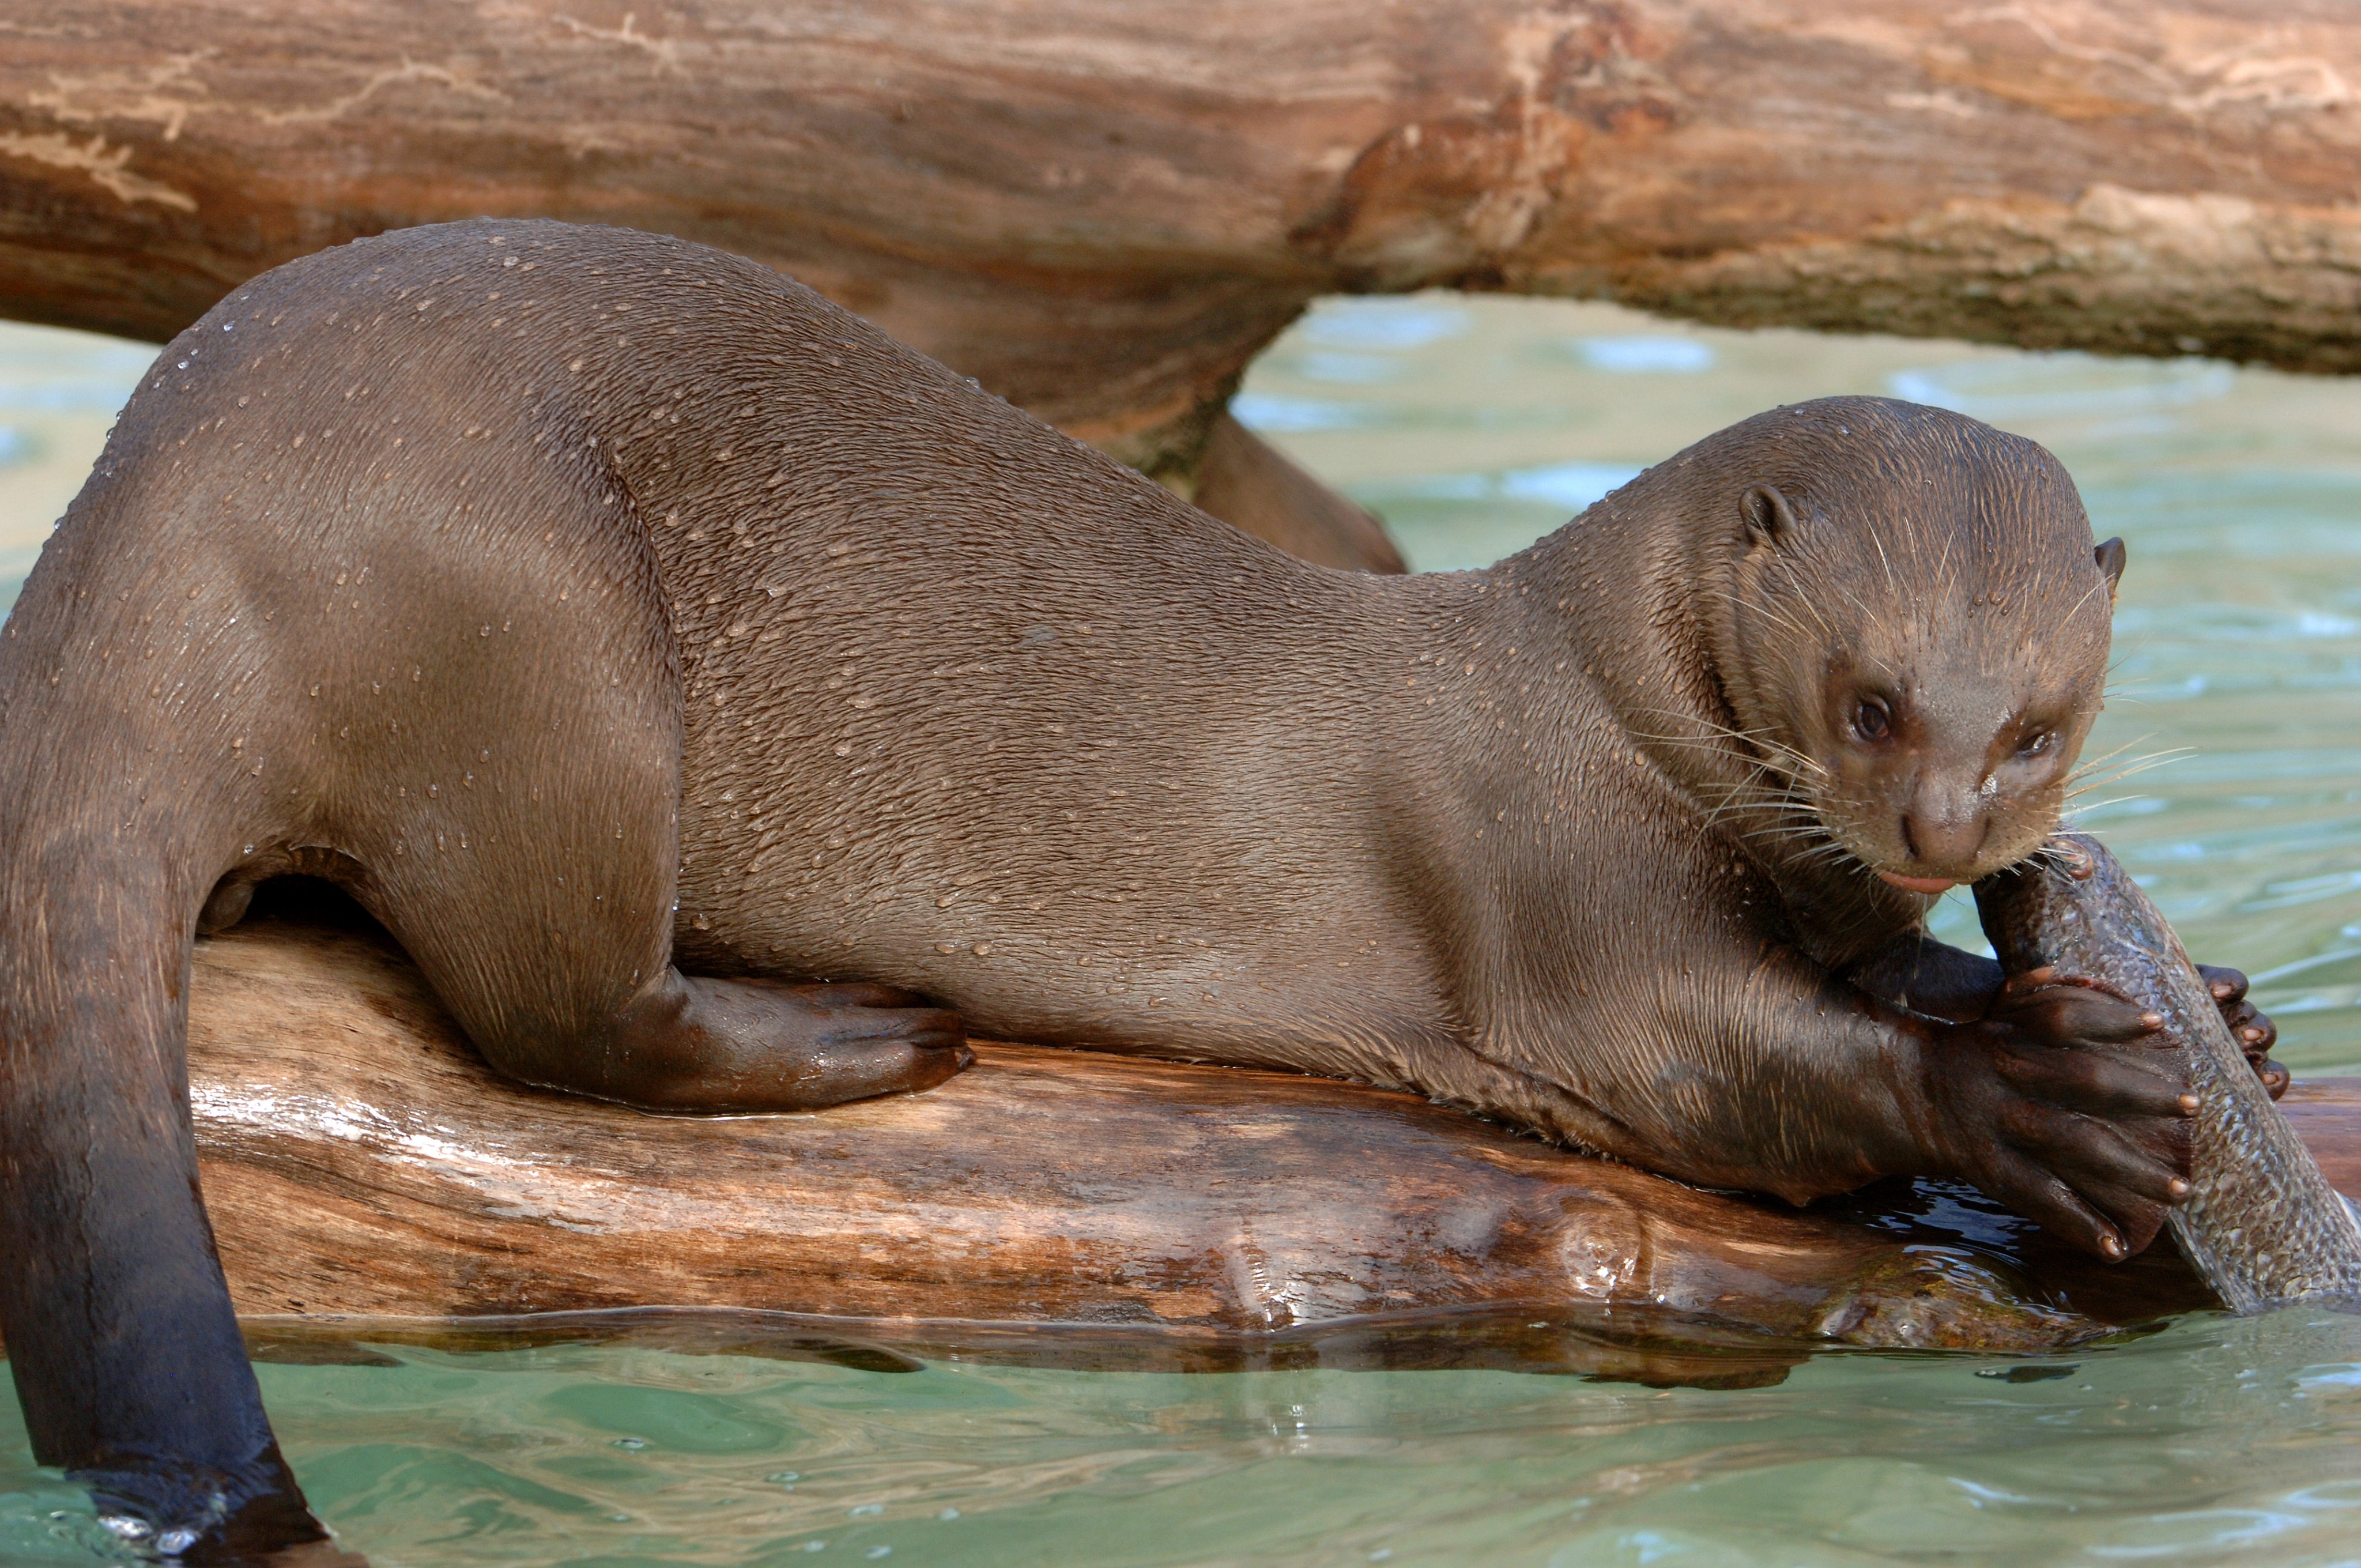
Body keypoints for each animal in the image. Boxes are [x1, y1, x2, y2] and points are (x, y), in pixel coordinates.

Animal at [0, 220, 2276, 1553]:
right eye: (1871, 702)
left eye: (2039, 724)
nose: (1945, 832)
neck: (1601, 702)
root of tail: (146, 515)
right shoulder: (1556, 892)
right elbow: (1725, 1067)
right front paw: (2047, 1098)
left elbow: (1874, 982)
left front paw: (2211, 1014)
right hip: (532, 620)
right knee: (553, 1006)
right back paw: (865, 1033)